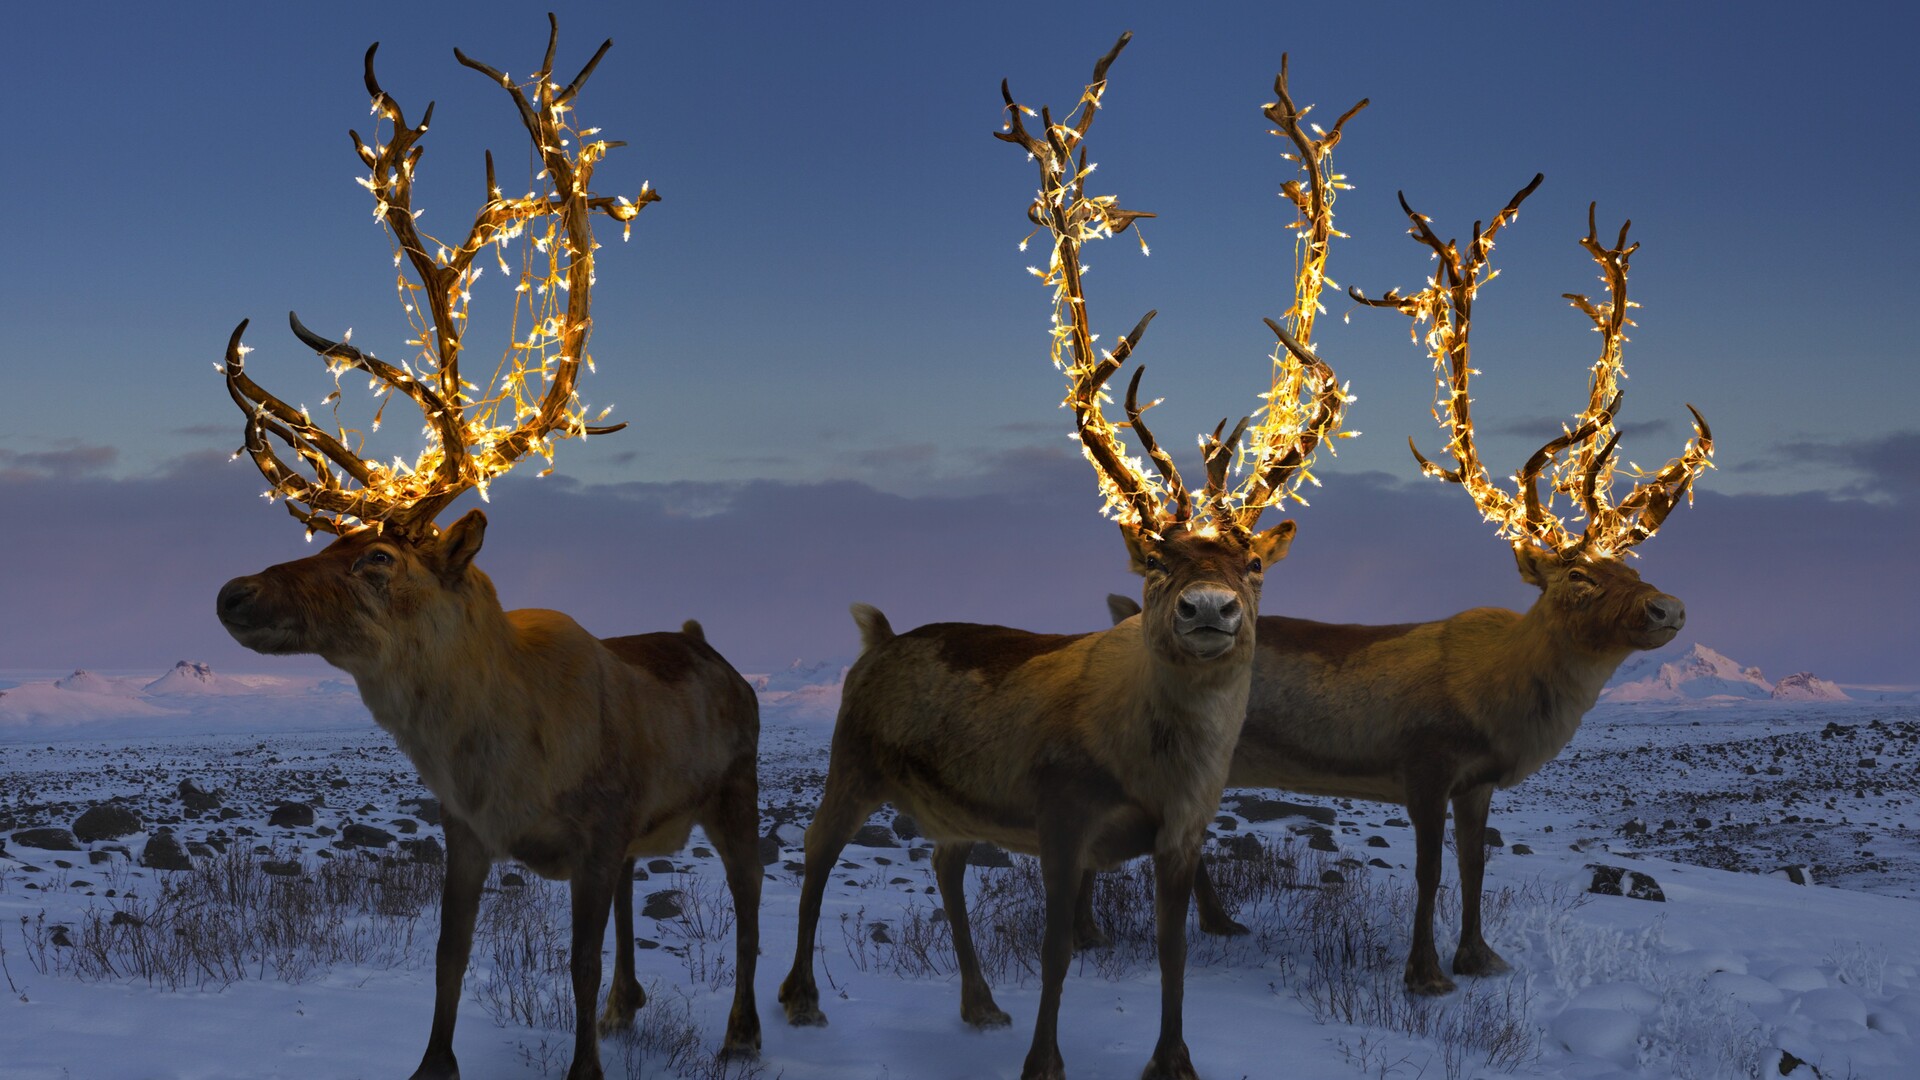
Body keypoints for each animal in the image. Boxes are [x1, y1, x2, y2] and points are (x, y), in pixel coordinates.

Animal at [210, 19, 760, 1079]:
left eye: (377, 561)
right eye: (330, 540)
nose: (232, 593)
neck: (497, 758)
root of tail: (708, 644)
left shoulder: (596, 831)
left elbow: (572, 966)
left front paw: (586, 1064)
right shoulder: (467, 834)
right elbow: (449, 954)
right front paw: (434, 1064)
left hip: (736, 786)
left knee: (755, 902)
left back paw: (749, 1028)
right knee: (637, 910)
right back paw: (634, 1002)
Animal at [777, 34, 1353, 1080]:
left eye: (1252, 566)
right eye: (1155, 563)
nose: (1209, 611)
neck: (1152, 764)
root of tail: (876, 636)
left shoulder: (1180, 834)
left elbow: (1172, 948)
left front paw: (1173, 1059)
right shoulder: (1058, 816)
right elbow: (1053, 946)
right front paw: (1045, 1061)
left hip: (951, 805)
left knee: (944, 864)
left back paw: (976, 1003)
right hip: (851, 755)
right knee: (813, 847)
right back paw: (800, 999)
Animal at [1099, 176, 1715, 997]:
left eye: (1635, 569)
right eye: (1580, 576)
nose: (1667, 606)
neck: (1499, 696)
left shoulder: (1479, 782)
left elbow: (1476, 867)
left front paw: (1481, 957)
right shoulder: (1422, 763)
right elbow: (1428, 873)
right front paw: (1425, 975)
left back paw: (1222, 922)